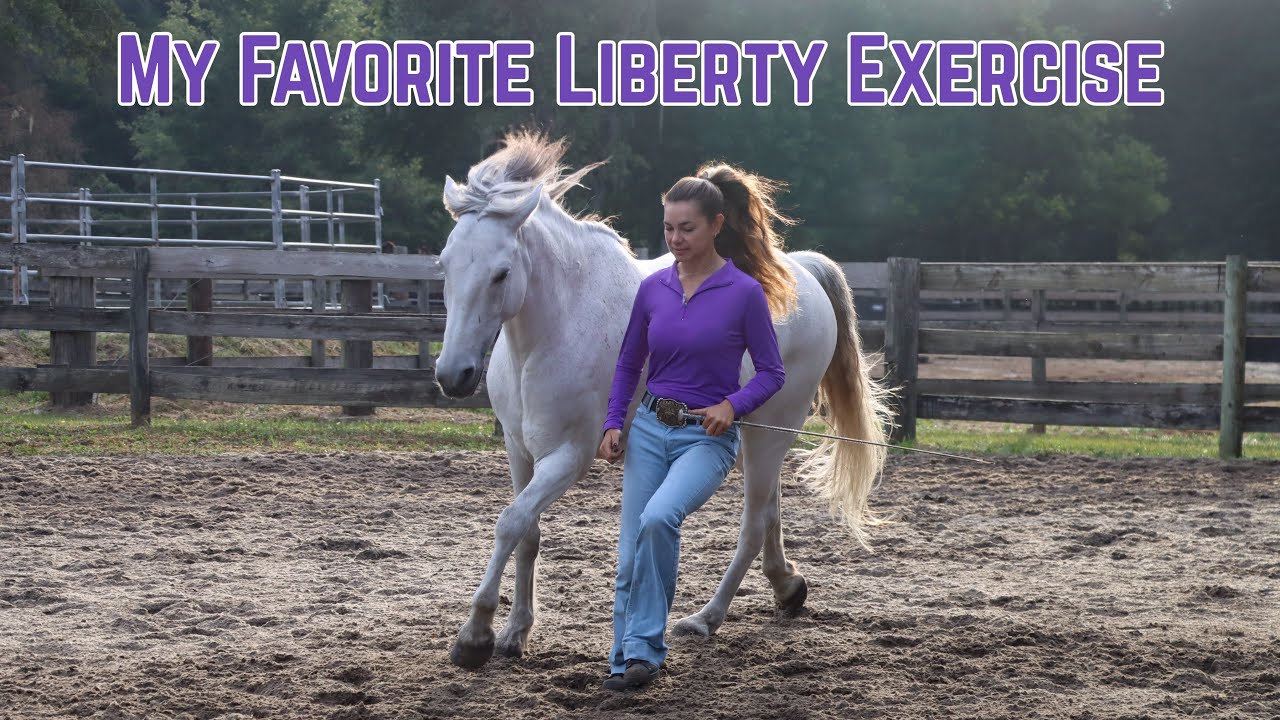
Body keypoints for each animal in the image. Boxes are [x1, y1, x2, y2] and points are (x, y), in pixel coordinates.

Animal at [433, 130, 891, 670]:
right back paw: (788, 587)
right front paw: (514, 632)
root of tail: (801, 269)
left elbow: (509, 523)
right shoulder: (519, 452)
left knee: (754, 524)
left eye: (501, 274)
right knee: (771, 511)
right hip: (756, 438)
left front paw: (476, 634)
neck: (556, 327)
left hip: (767, 435)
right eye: (443, 265)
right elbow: (527, 533)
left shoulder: (569, 457)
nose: (453, 375)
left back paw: (706, 618)